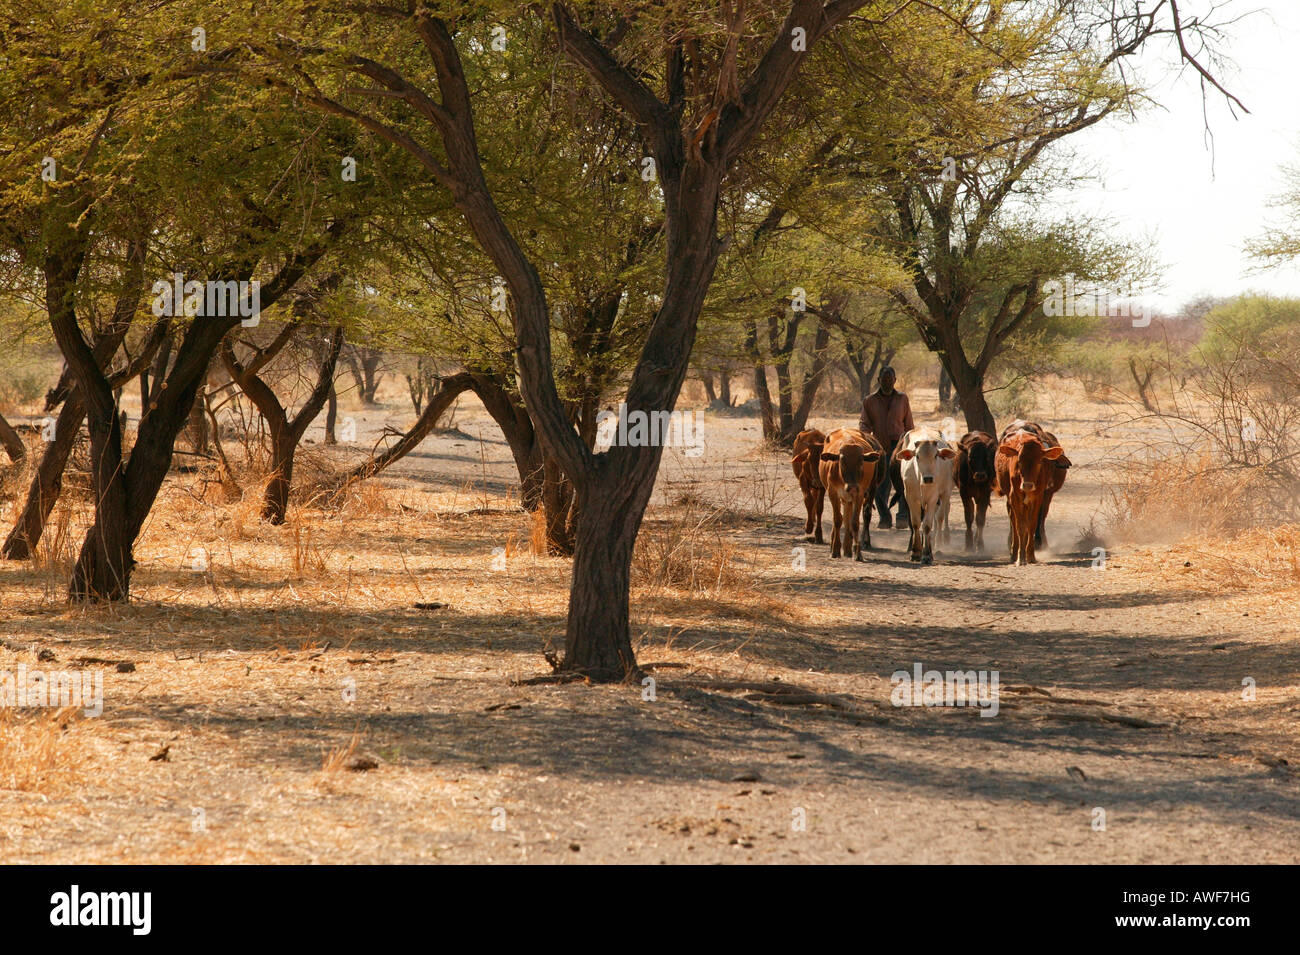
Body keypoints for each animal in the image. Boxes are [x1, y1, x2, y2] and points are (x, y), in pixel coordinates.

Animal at [817, 427, 883, 560]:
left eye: (861, 461)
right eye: (842, 461)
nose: (852, 486)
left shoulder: (859, 493)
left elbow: (854, 522)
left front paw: (857, 552)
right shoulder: (833, 492)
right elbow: (837, 520)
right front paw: (835, 549)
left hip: (850, 498)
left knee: (847, 518)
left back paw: (847, 549)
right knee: (840, 518)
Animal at [894, 427, 956, 565]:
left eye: (936, 455)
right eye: (917, 456)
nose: (928, 478)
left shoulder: (933, 499)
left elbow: (927, 525)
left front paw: (927, 554)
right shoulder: (910, 497)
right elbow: (916, 523)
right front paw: (915, 552)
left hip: (945, 493)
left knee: (940, 517)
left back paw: (938, 544)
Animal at [994, 429, 1065, 565]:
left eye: (1040, 461)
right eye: (1019, 460)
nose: (1027, 485)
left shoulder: (1038, 497)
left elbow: (1031, 525)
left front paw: (1031, 556)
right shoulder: (1014, 497)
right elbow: (1020, 527)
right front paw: (1020, 558)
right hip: (1011, 500)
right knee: (1014, 523)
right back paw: (1013, 553)